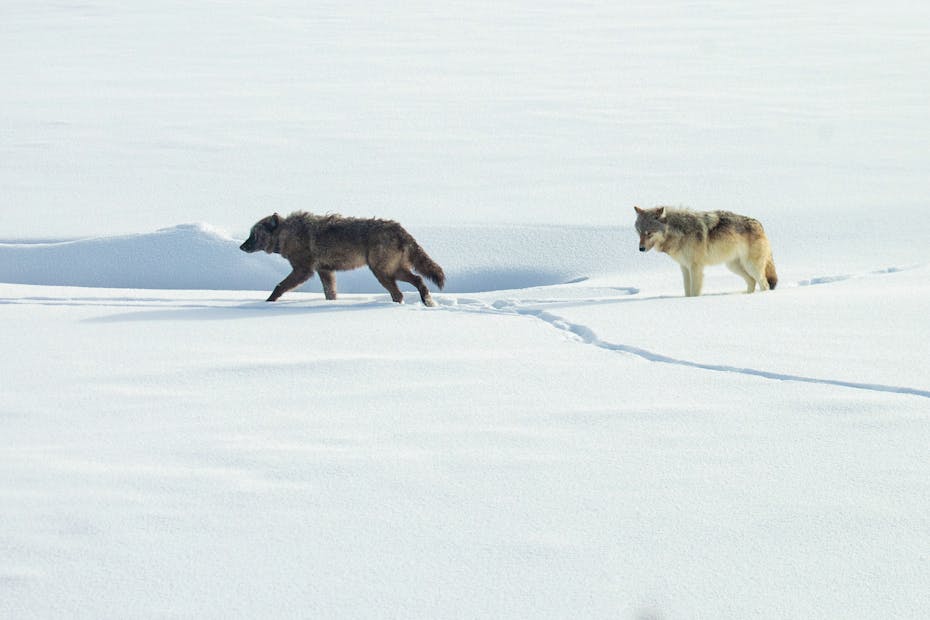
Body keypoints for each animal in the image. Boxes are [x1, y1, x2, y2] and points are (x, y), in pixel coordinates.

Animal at [240, 211, 445, 306]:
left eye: (254, 235)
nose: (241, 247)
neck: (287, 234)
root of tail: (400, 229)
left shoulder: (303, 271)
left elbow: (279, 286)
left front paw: (267, 303)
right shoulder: (325, 271)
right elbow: (330, 293)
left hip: (383, 272)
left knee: (400, 293)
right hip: (393, 271)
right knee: (418, 280)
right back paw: (427, 302)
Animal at [634, 206, 777, 296]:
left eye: (649, 233)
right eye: (639, 232)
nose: (640, 249)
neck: (680, 232)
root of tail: (760, 225)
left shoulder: (695, 267)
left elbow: (694, 292)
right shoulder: (684, 267)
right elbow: (687, 291)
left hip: (751, 266)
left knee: (764, 284)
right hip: (733, 266)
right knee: (752, 281)